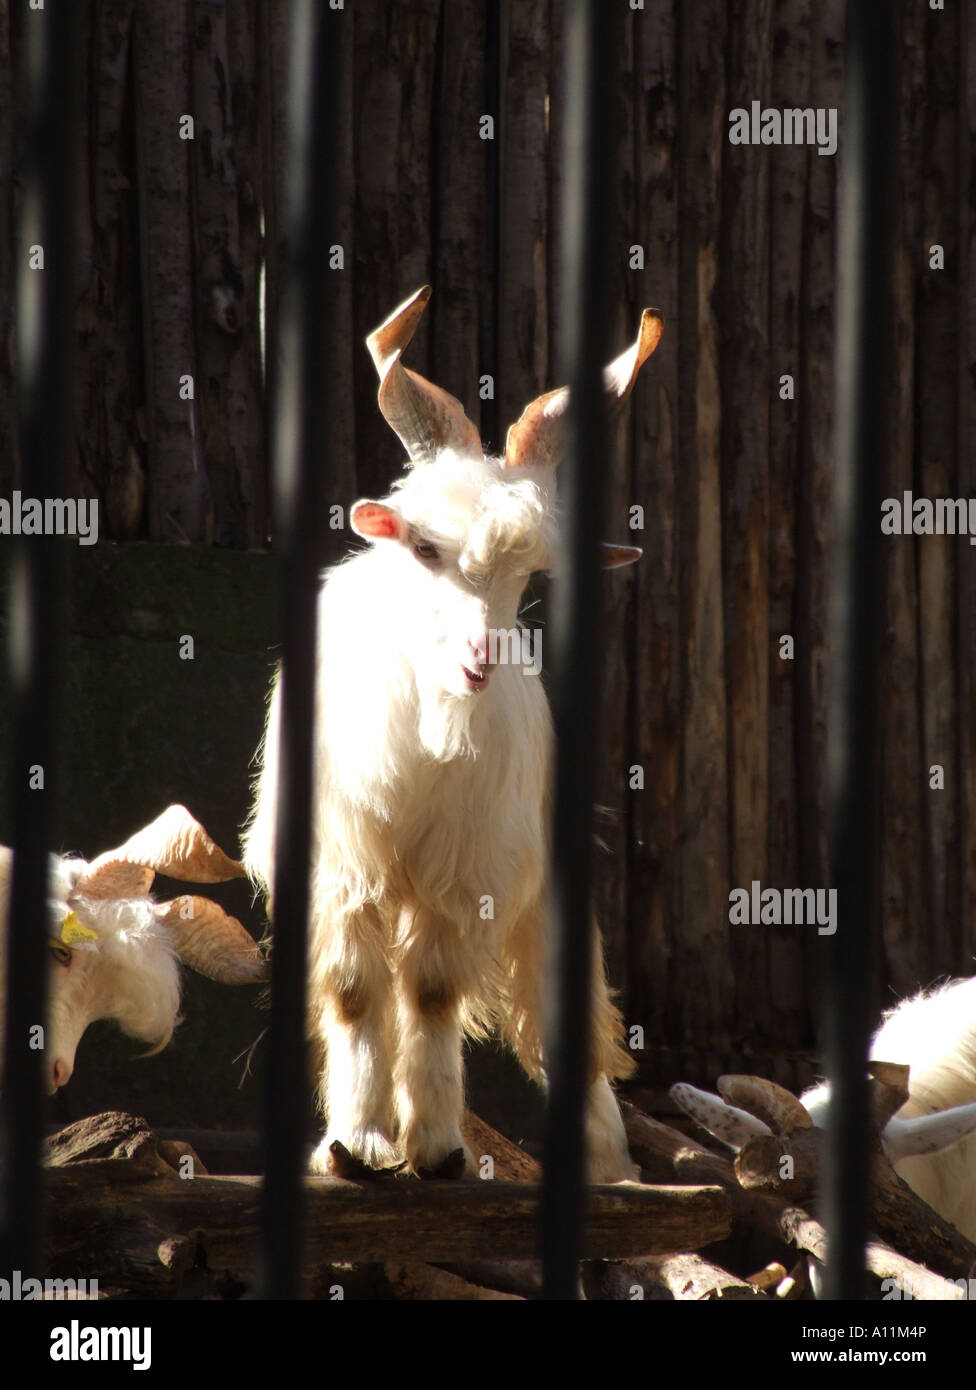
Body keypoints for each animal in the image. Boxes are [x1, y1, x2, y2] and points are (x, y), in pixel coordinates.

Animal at [244, 285, 662, 1181]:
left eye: (530, 573)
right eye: (424, 548)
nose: (477, 664)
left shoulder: (466, 870)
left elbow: (432, 992)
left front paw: (435, 1149)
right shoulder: (343, 864)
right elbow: (357, 992)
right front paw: (359, 1145)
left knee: (563, 1019)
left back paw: (608, 1162)